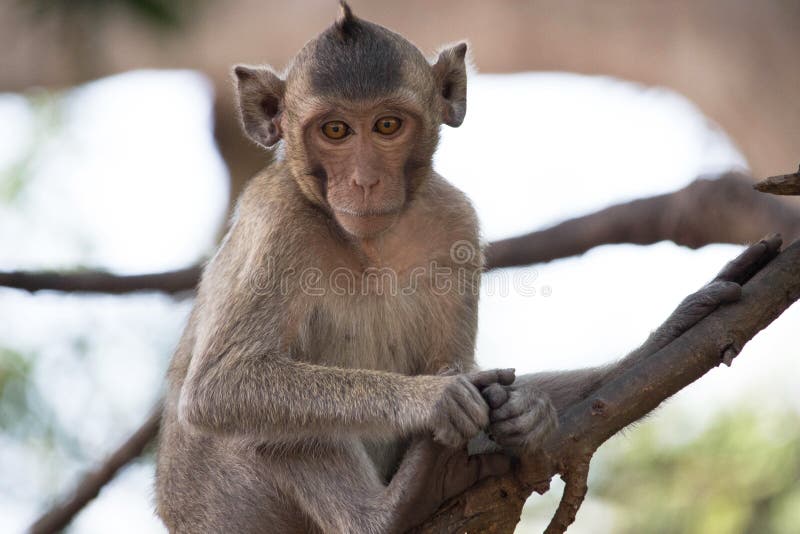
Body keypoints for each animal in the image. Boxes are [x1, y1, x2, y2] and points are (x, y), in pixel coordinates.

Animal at [154, 2, 779, 533]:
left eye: (387, 126)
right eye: (335, 130)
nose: (365, 180)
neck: (369, 243)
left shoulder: (452, 219)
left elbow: (459, 363)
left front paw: (534, 407)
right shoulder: (278, 218)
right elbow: (218, 388)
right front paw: (433, 400)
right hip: (226, 505)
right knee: (259, 423)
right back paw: (390, 510)